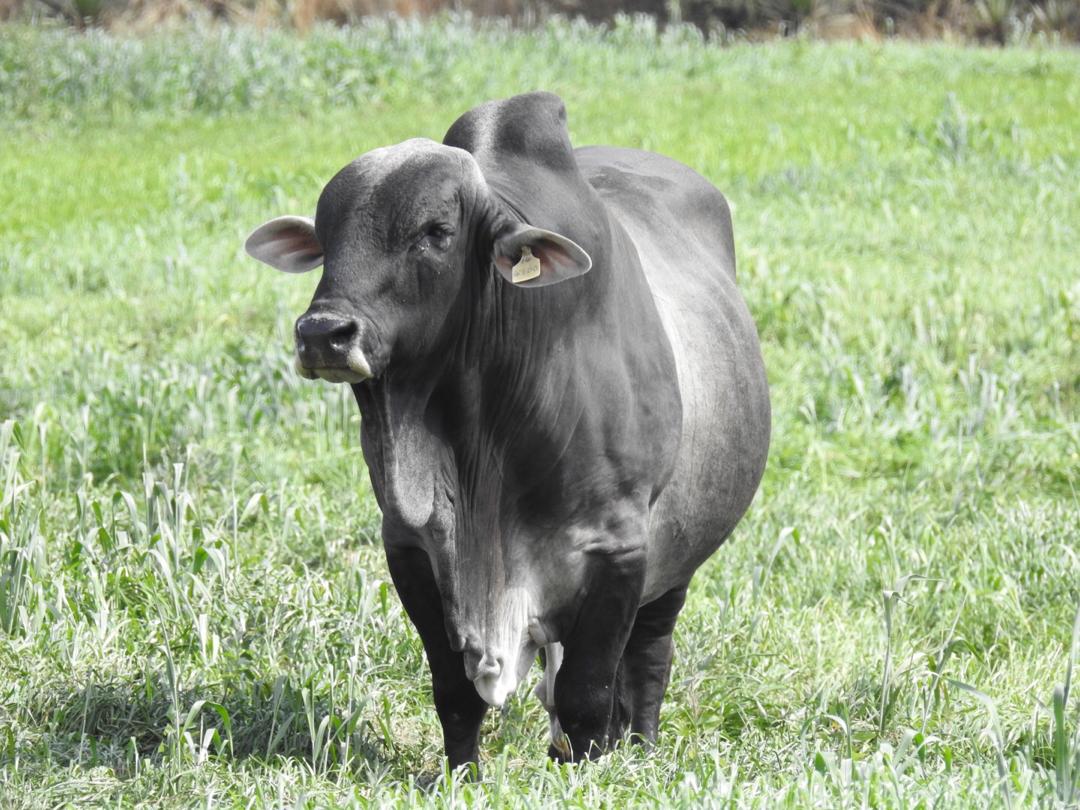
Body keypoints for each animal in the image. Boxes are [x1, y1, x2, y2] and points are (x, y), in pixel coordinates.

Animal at [244, 92, 770, 769]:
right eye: (325, 236)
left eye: (436, 233)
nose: (322, 334)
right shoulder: (410, 548)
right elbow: (454, 692)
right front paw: (462, 775)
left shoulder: (620, 552)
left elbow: (587, 693)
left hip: (676, 560)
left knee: (649, 658)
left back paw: (643, 747)